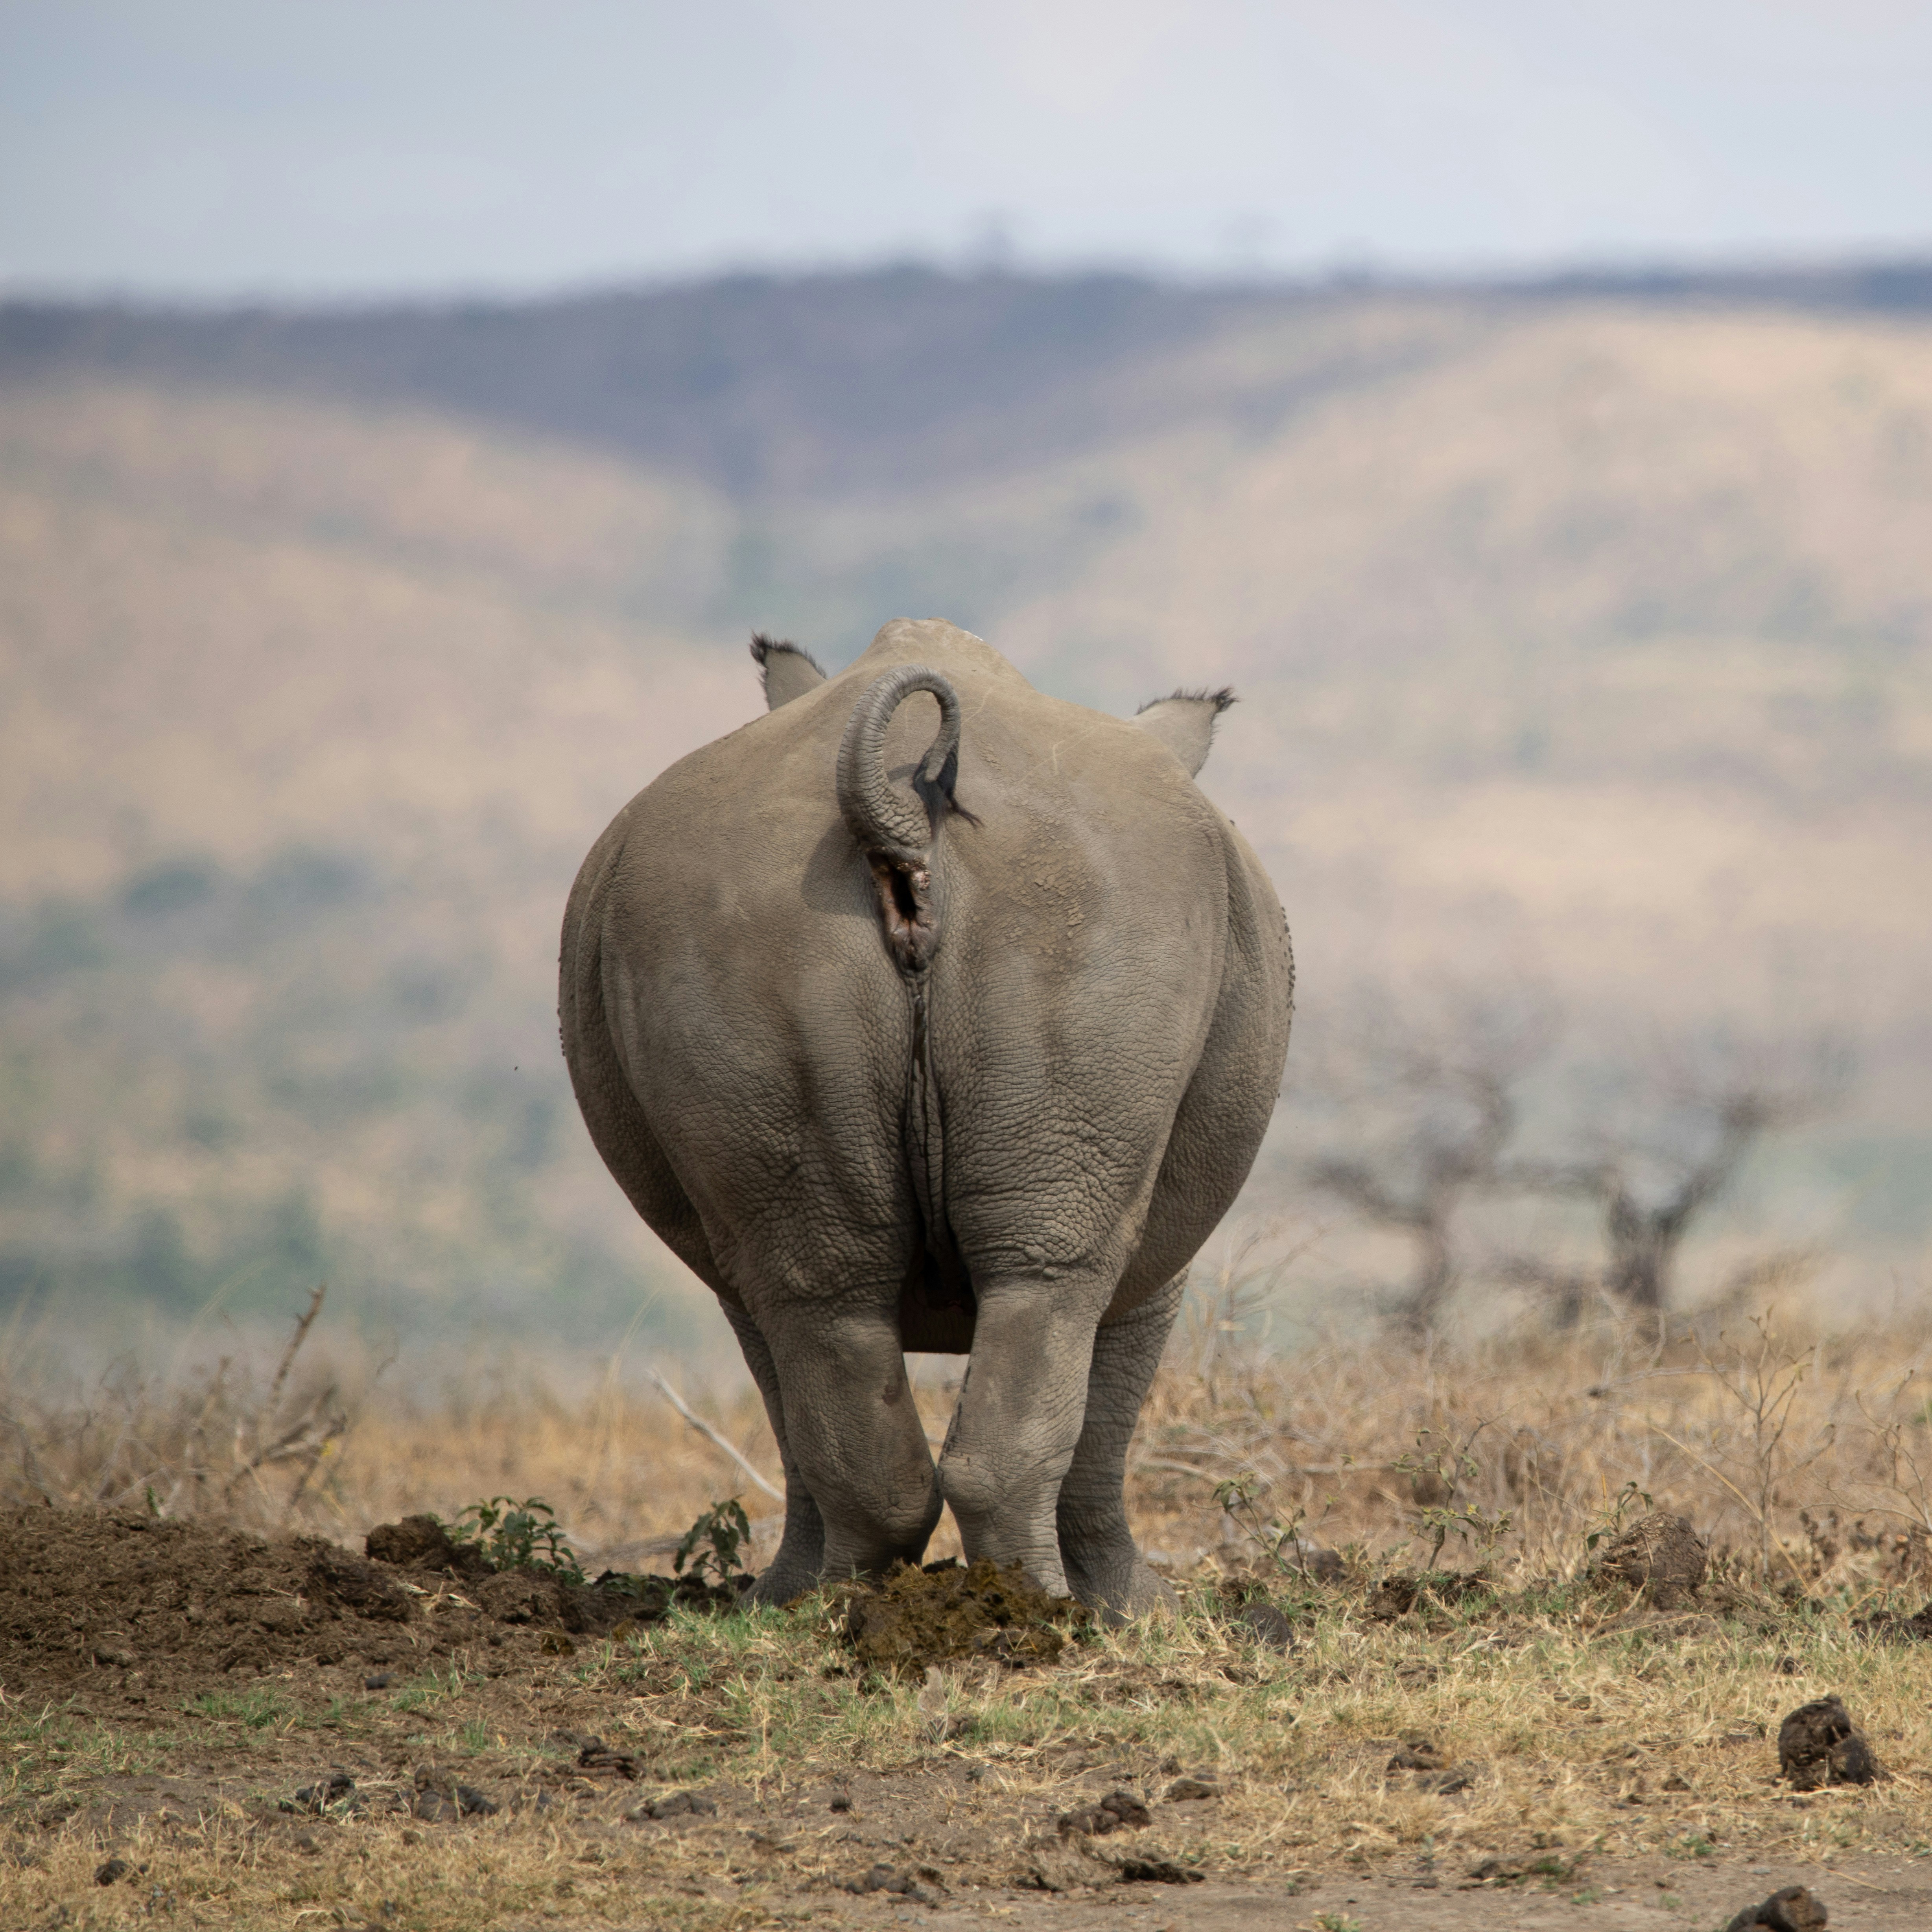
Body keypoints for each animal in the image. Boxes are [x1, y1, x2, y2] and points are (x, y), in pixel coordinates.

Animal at [560, 619, 1292, 1616]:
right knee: (1039, 1280)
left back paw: (827, 1610)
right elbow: (1112, 1395)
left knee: (825, 1288)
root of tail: (897, 802)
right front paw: (1143, 1612)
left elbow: (784, 1384)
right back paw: (1038, 1617)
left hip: (735, 922)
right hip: (1092, 915)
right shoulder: (1160, 1241)